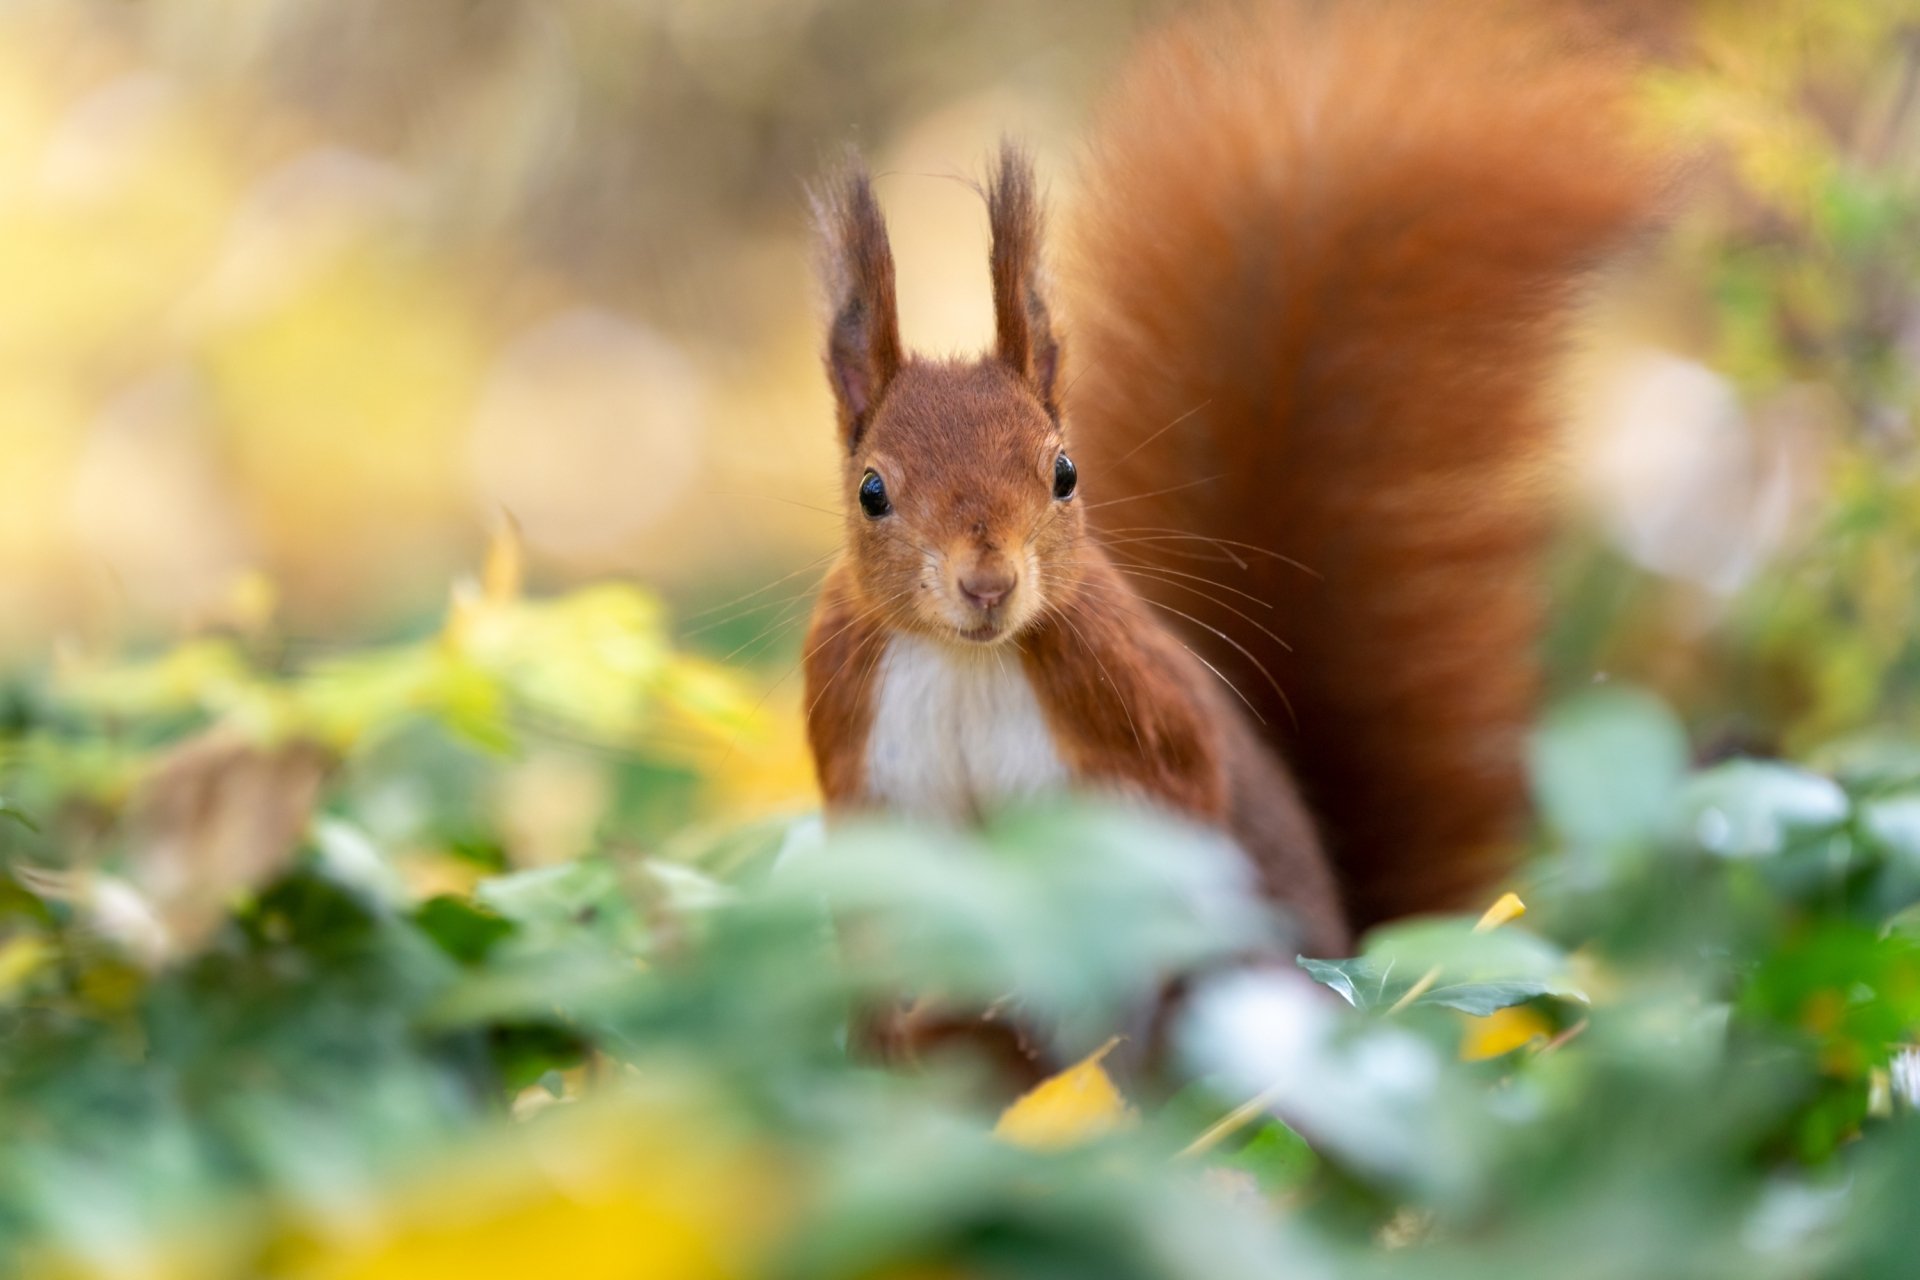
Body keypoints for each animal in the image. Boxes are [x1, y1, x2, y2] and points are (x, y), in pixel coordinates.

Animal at [801, 0, 1660, 959]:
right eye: (872, 492)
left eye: (1065, 472)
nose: (987, 584)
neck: (964, 660)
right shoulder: (868, 786)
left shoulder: (1148, 726)